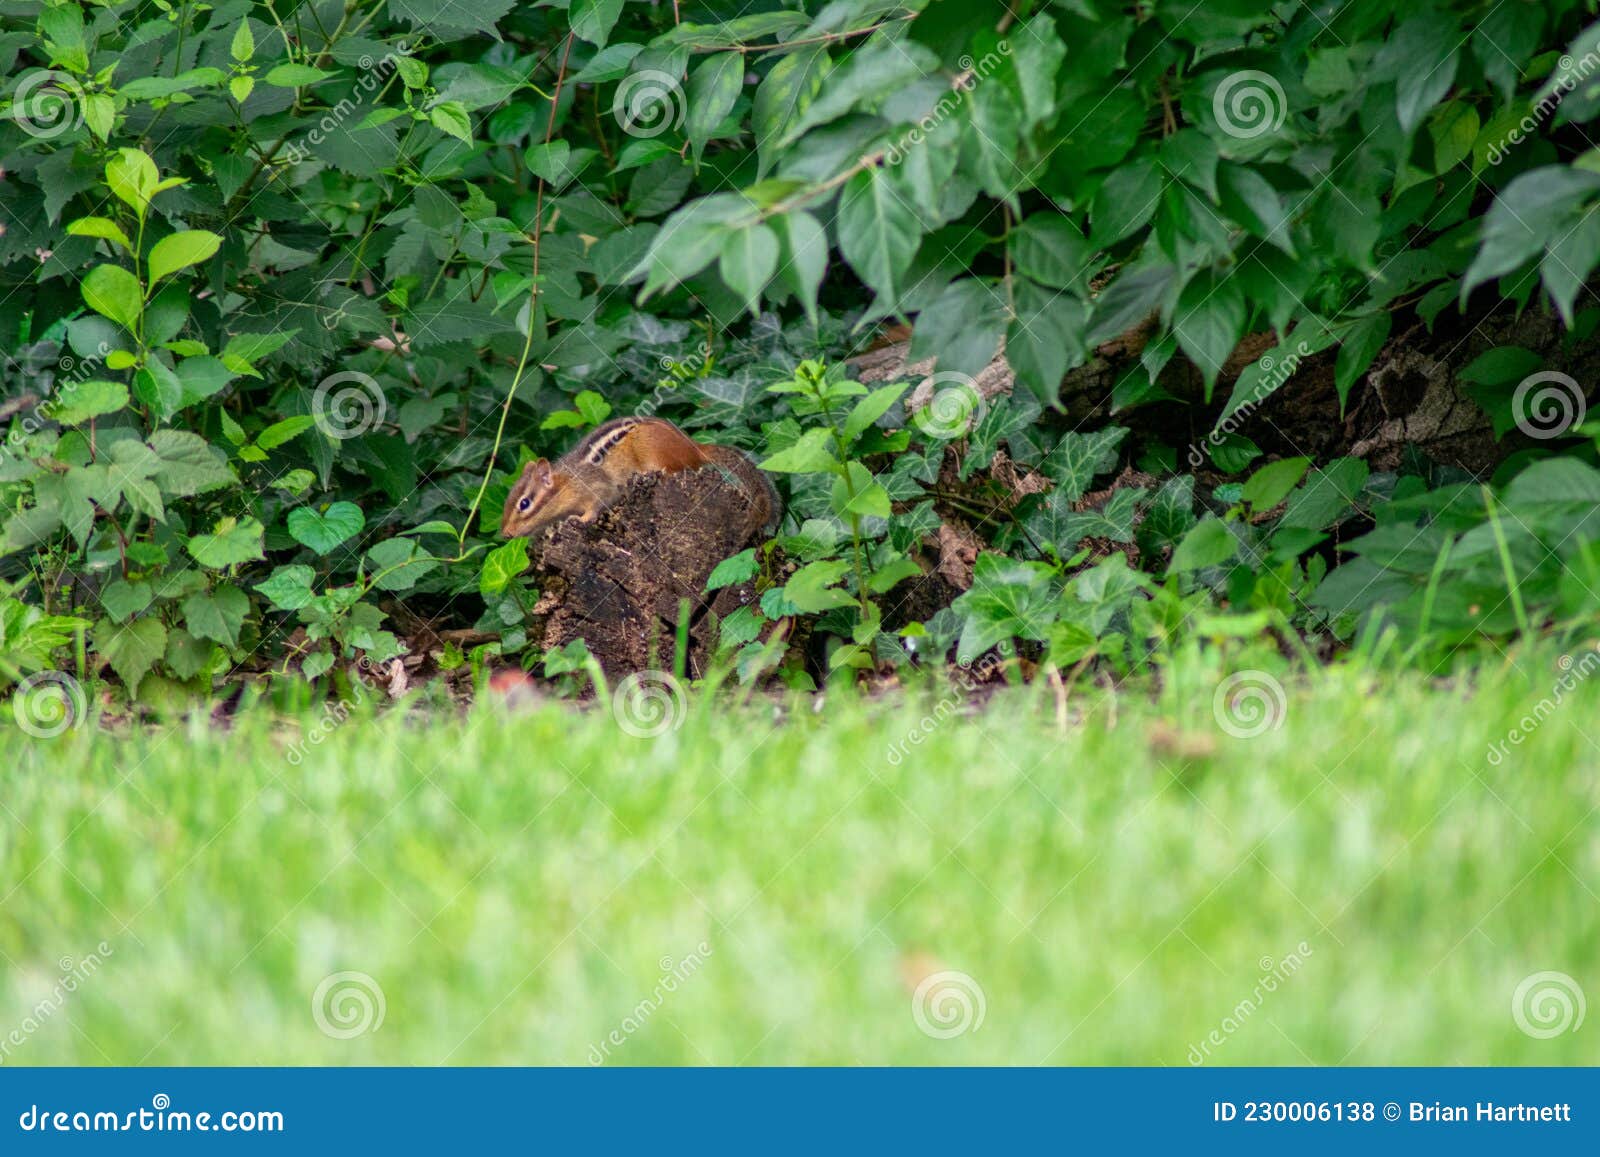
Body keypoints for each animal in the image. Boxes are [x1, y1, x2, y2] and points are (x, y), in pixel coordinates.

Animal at [500, 416, 780, 541]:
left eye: (524, 503)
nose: (506, 534)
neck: (567, 482)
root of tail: (694, 447)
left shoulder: (597, 488)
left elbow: (595, 506)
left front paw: (580, 519)